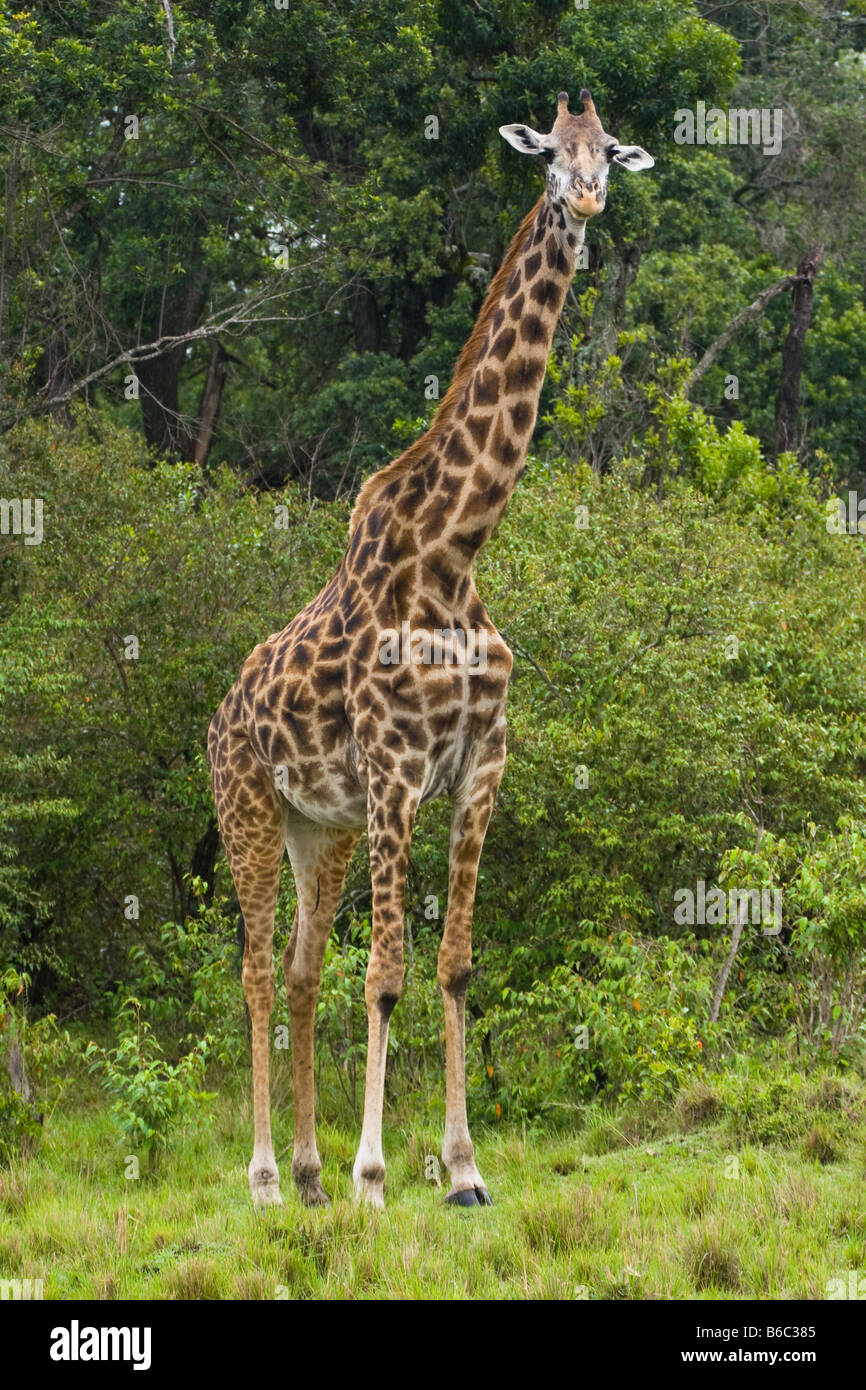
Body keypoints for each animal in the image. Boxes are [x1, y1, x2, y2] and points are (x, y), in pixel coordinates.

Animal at [208, 89, 653, 1211]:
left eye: (609, 152)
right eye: (547, 156)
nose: (588, 199)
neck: (455, 551)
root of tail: (219, 710)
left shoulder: (478, 762)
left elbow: (449, 964)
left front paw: (461, 1169)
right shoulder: (399, 770)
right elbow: (387, 973)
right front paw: (377, 1176)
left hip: (319, 829)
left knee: (298, 971)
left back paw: (310, 1175)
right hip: (246, 806)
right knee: (254, 970)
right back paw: (269, 1176)